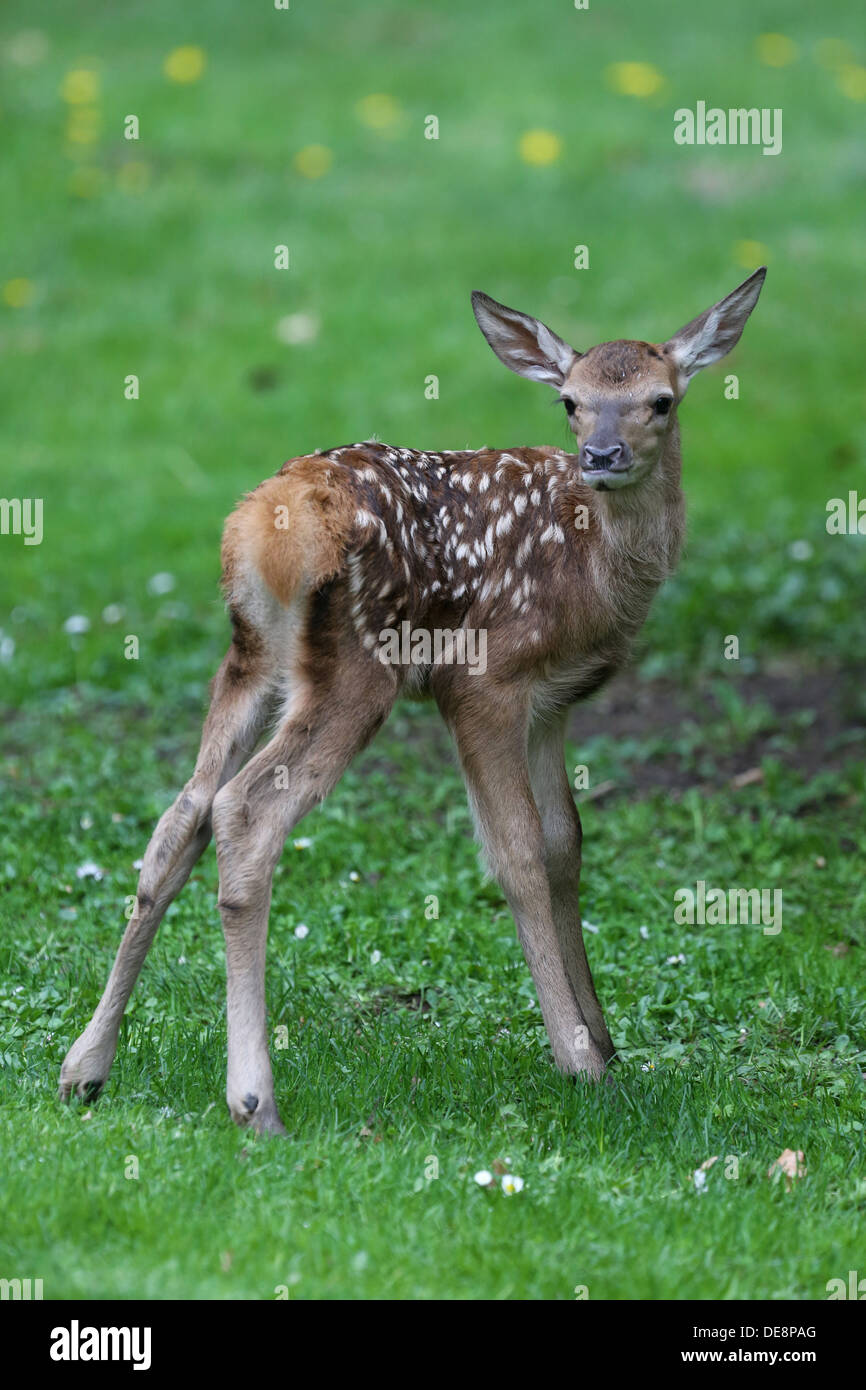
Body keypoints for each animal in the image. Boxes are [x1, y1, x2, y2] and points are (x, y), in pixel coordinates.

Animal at [60, 268, 766, 1134]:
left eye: (660, 400)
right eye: (569, 400)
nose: (602, 454)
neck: (593, 569)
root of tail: (264, 526)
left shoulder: (552, 704)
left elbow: (565, 844)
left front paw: (604, 1042)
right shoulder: (484, 680)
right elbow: (518, 854)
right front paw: (578, 1059)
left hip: (251, 660)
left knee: (183, 814)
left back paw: (85, 1068)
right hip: (361, 665)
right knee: (246, 812)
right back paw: (254, 1099)